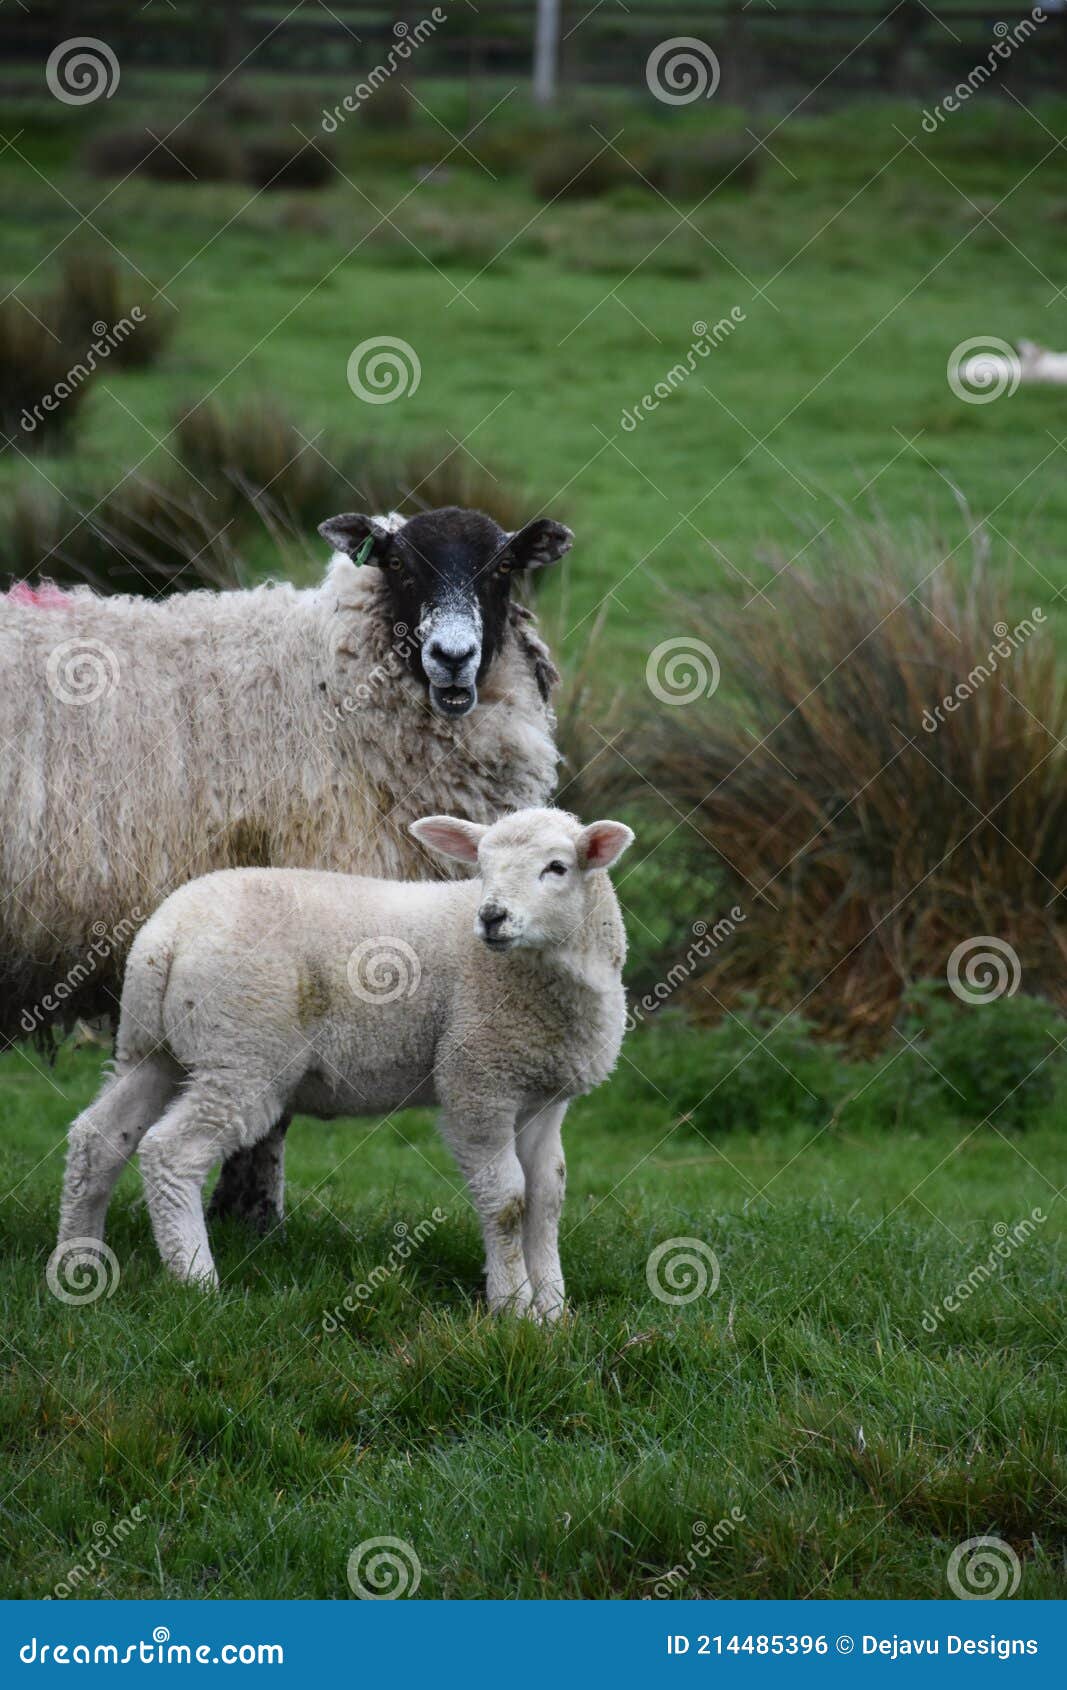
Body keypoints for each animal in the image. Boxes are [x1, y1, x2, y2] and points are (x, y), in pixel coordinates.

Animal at [1, 505, 571, 1233]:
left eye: (502, 567)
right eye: (397, 564)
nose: (452, 657)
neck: (330, 681)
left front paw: (246, 1213)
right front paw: (250, 1214)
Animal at [55, 806, 634, 1318]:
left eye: (557, 867)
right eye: (482, 868)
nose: (492, 918)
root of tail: (166, 936)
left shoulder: (544, 1094)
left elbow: (548, 1196)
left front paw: (553, 1312)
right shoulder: (478, 1082)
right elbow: (509, 1201)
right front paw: (513, 1309)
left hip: (154, 1050)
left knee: (97, 1138)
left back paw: (78, 1263)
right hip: (242, 1052)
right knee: (170, 1153)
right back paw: (196, 1281)